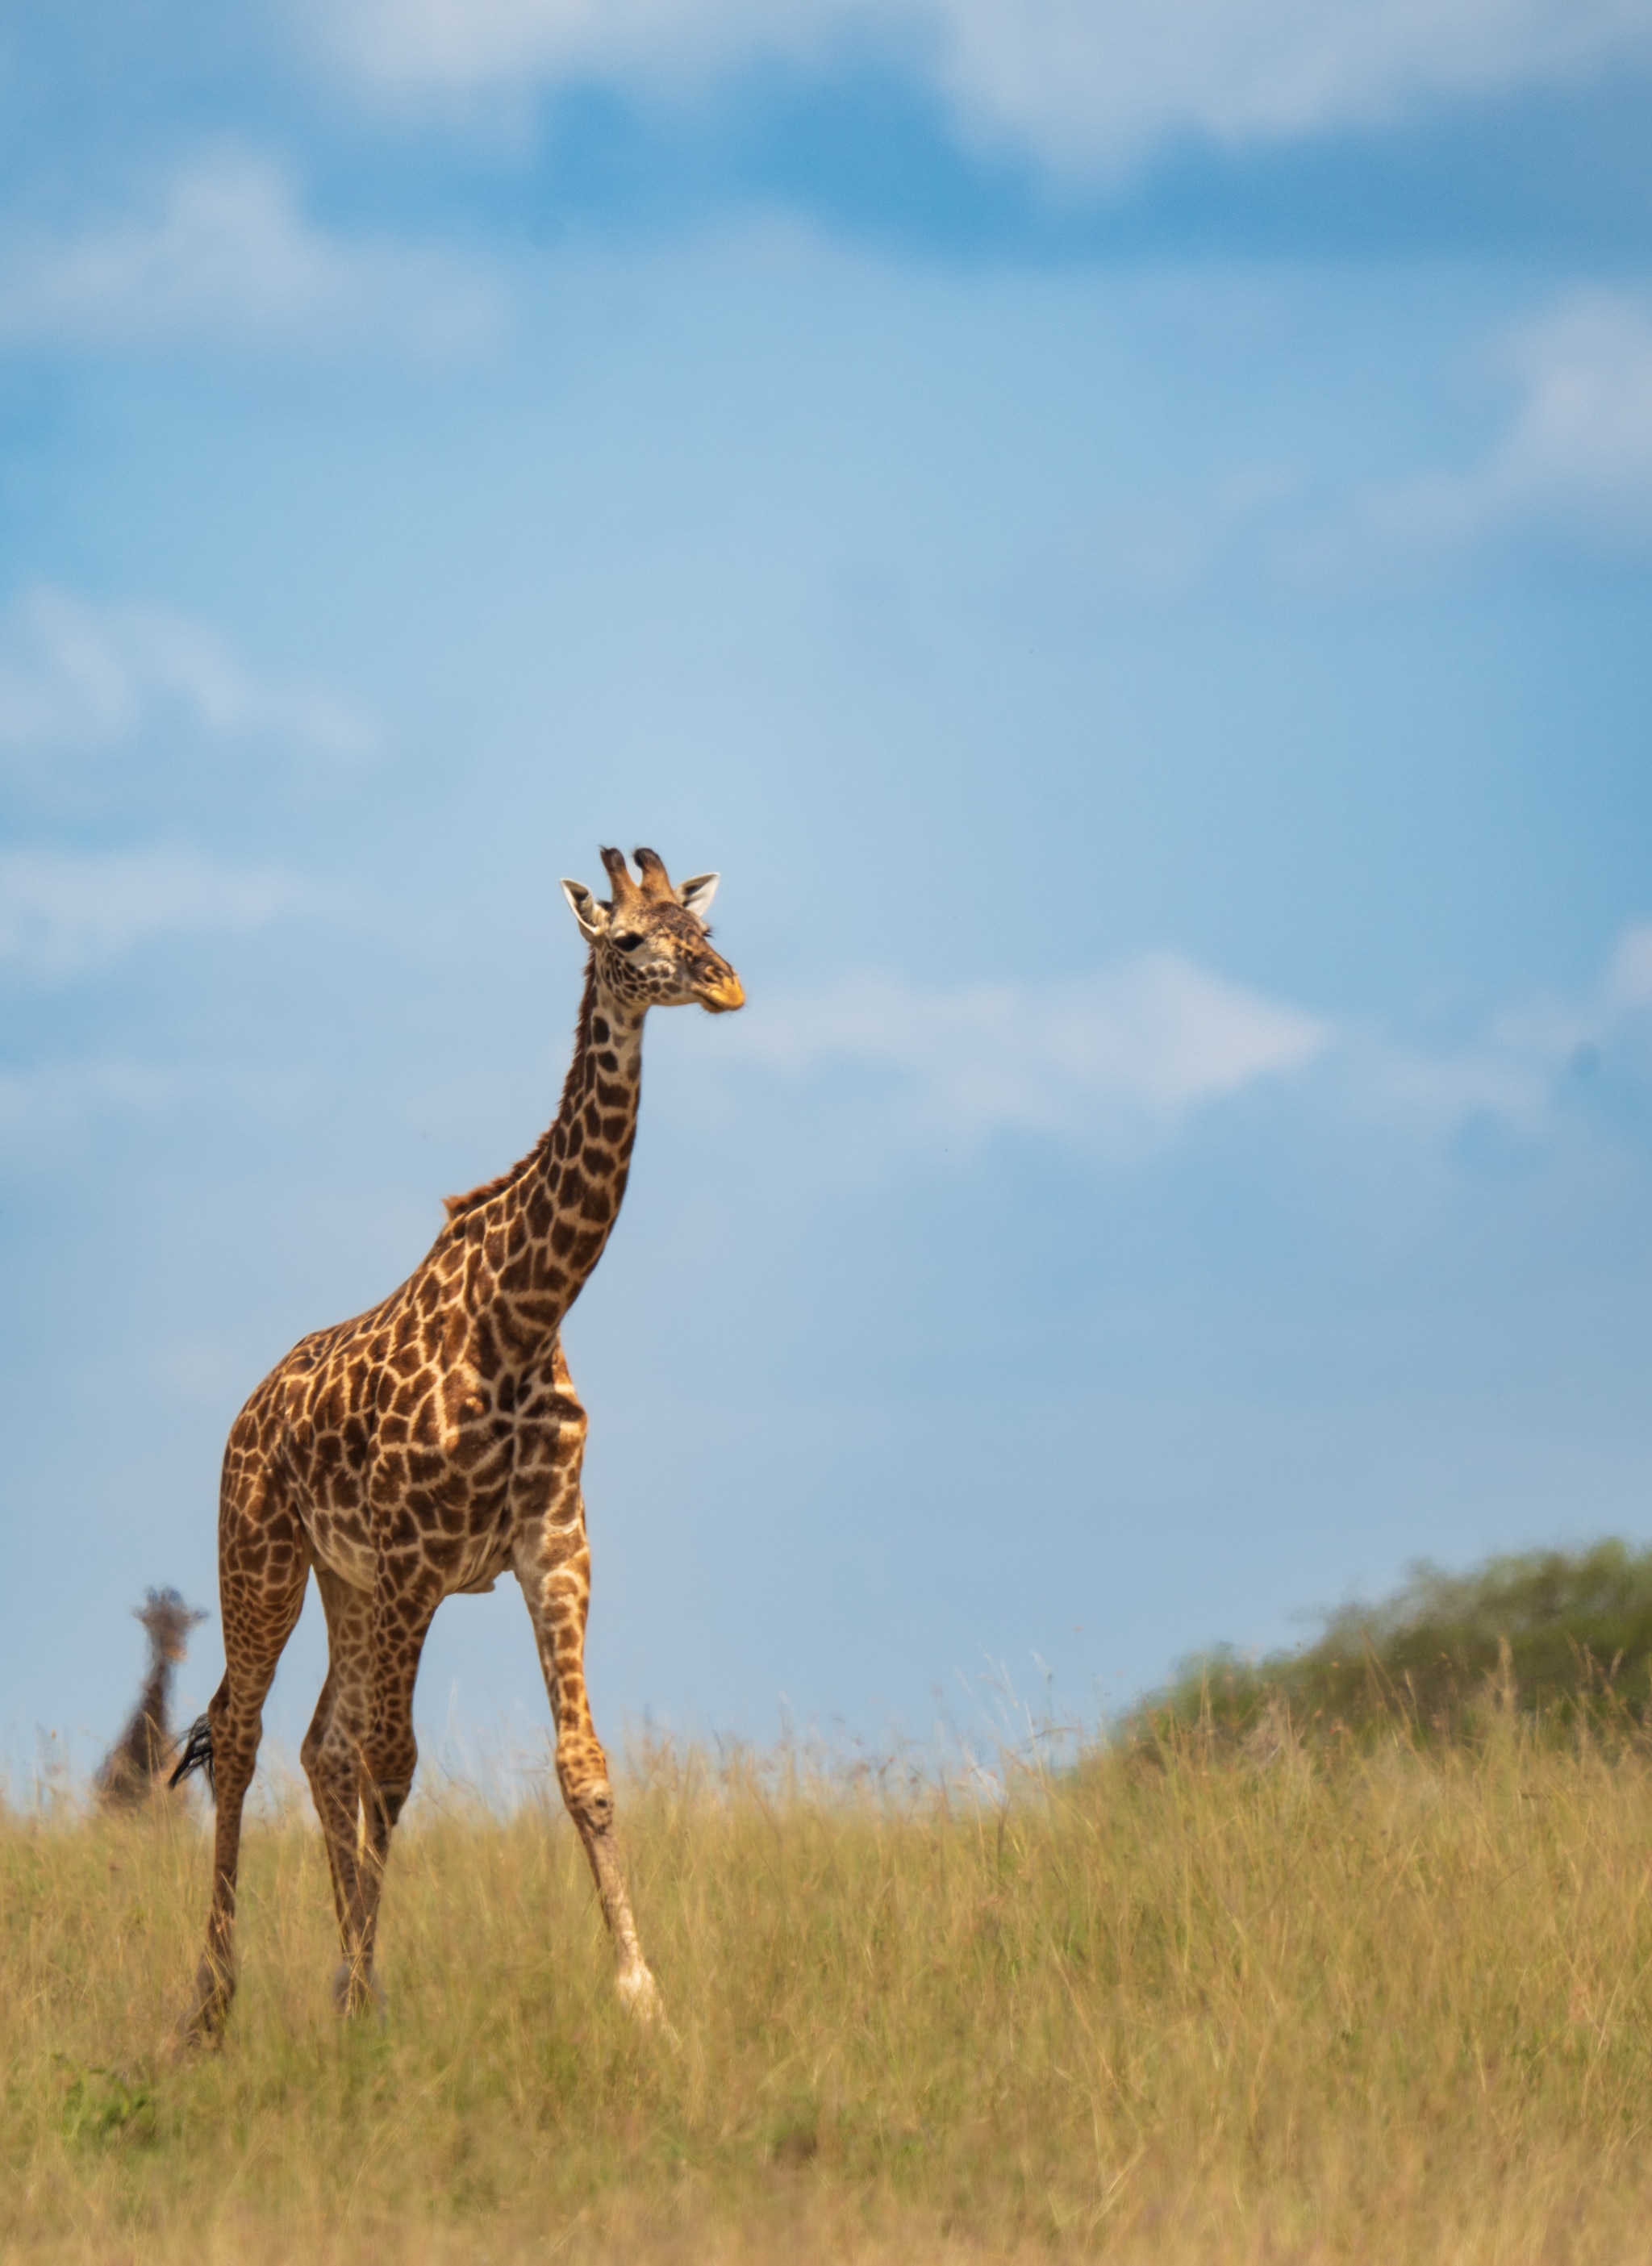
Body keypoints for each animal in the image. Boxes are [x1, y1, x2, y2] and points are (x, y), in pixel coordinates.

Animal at [170, 847, 744, 2040]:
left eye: (701, 927)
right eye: (630, 939)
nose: (726, 985)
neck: (521, 1317)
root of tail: (250, 1407)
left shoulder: (553, 1548)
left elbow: (582, 1765)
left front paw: (643, 1996)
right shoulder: (415, 1563)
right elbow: (394, 1765)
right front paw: (364, 1995)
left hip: (341, 1580)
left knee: (317, 1742)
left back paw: (320, 1972)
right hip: (264, 1555)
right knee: (243, 1735)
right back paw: (212, 1999)